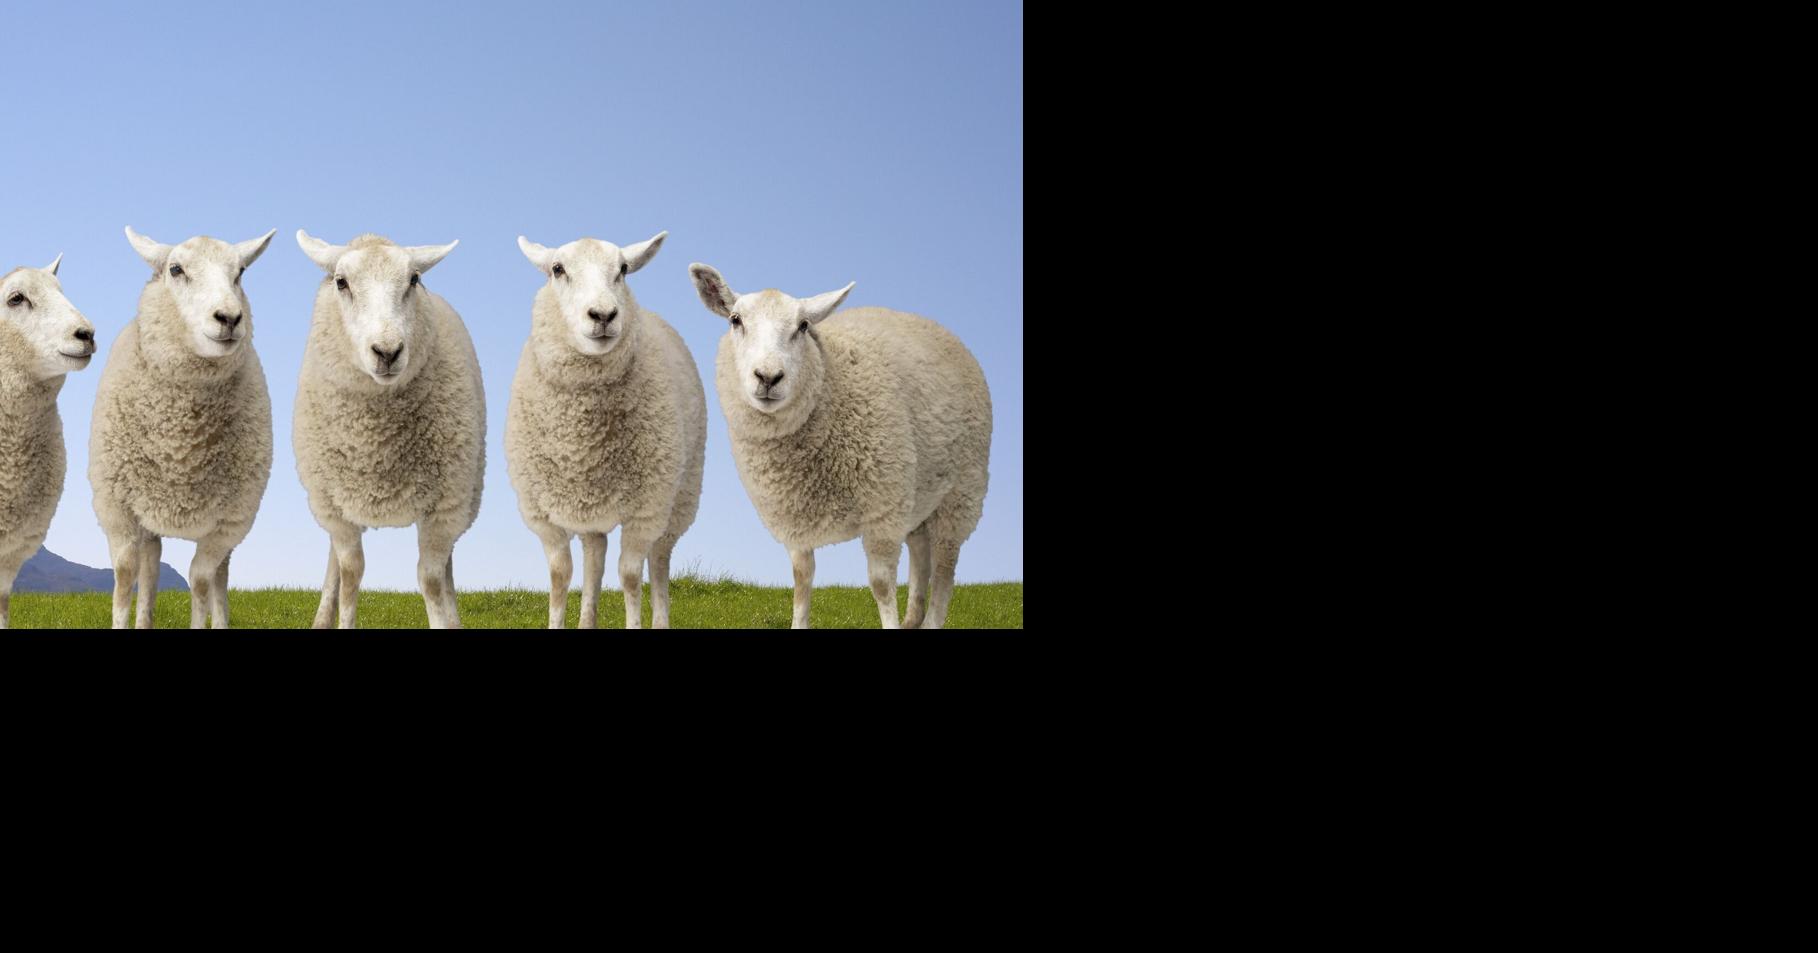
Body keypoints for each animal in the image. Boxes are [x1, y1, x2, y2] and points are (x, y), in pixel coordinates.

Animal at [89, 228, 276, 629]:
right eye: (176, 269)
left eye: (240, 272)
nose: (229, 317)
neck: (180, 447)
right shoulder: (117, 509)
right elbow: (125, 576)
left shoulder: (228, 522)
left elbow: (201, 581)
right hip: (148, 514)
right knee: (151, 567)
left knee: (219, 576)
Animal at [292, 231, 484, 629]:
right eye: (341, 282)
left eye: (413, 280)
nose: (387, 351)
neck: (377, 443)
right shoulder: (335, 504)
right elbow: (350, 573)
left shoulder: (444, 506)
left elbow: (431, 579)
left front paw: (444, 618)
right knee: (334, 559)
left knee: (448, 564)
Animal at [506, 232, 706, 629]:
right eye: (557, 269)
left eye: (624, 269)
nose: (603, 315)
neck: (583, 442)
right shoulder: (543, 514)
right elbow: (560, 575)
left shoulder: (646, 509)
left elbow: (630, 576)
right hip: (589, 505)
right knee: (595, 555)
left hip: (680, 494)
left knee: (660, 559)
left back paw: (661, 619)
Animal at [688, 264, 992, 629]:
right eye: (735, 320)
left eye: (803, 326)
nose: (768, 377)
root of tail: (933, 324)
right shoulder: (795, 518)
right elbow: (801, 579)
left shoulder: (882, 510)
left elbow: (881, 584)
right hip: (919, 491)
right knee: (920, 551)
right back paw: (913, 619)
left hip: (961, 492)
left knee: (946, 565)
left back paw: (931, 619)